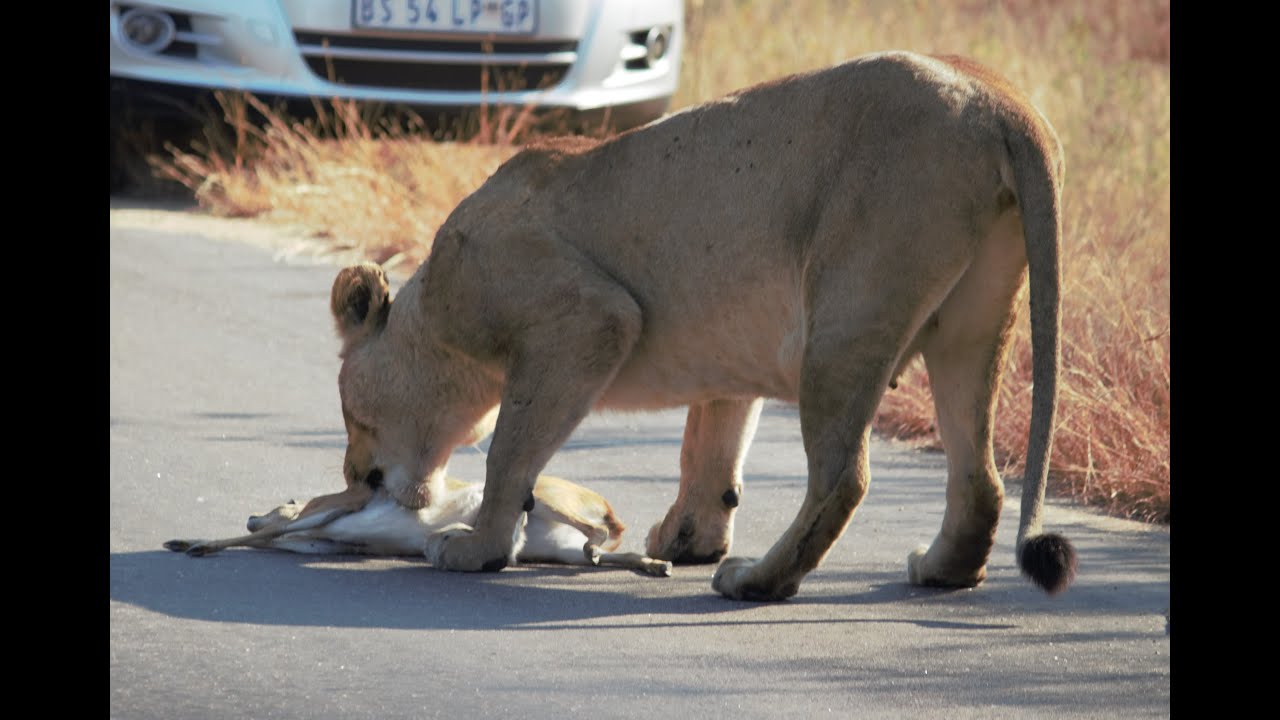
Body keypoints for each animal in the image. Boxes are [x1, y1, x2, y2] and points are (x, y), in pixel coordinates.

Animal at [319, 50, 1076, 600]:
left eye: (353, 415)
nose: (357, 477)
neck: (431, 317)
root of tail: (999, 98)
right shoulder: (725, 361)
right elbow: (709, 449)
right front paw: (688, 539)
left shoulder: (586, 317)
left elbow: (509, 450)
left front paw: (477, 548)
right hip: (973, 322)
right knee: (981, 478)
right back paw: (942, 569)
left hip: (848, 313)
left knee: (843, 477)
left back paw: (756, 581)